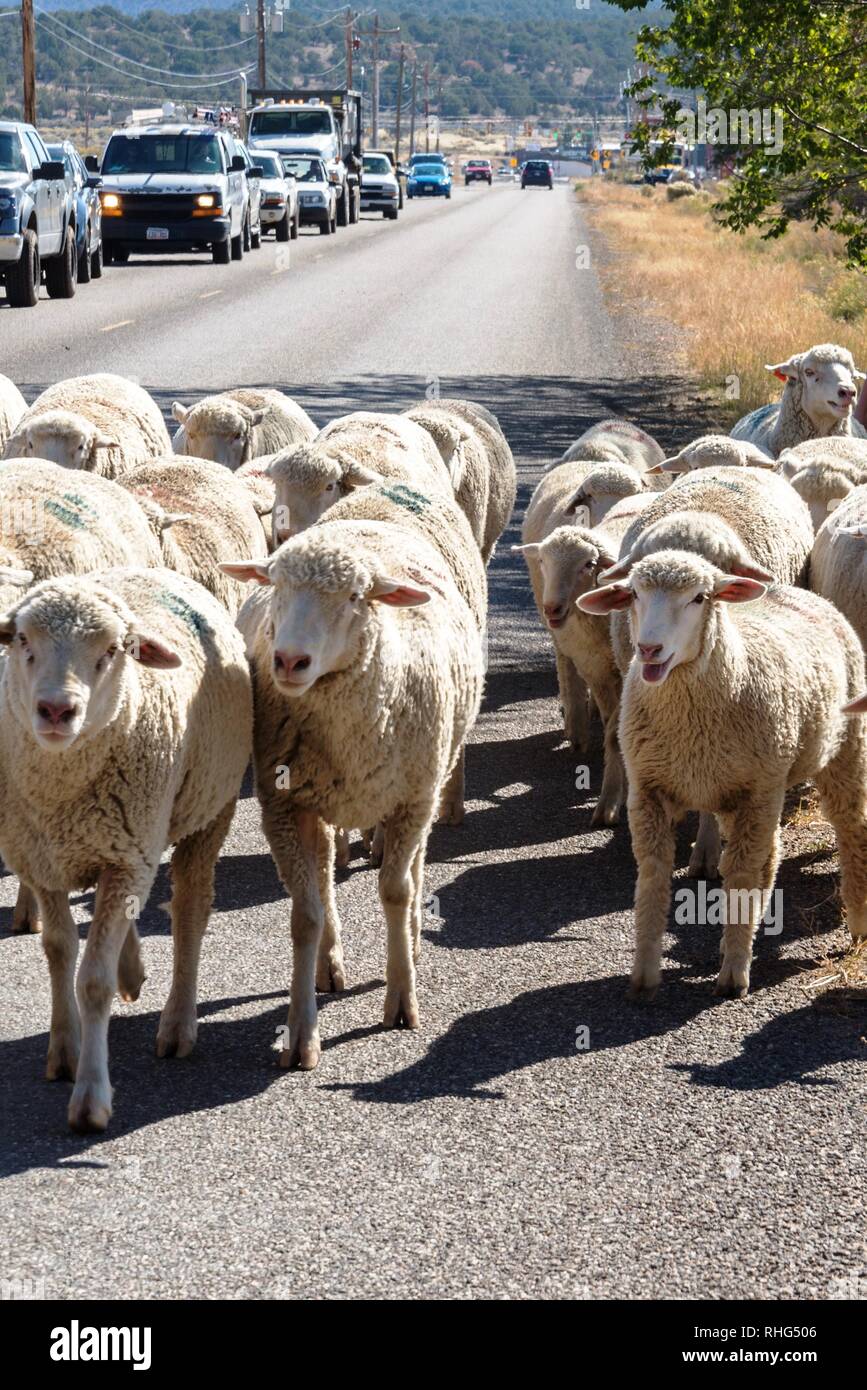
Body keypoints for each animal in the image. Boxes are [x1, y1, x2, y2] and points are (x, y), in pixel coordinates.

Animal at [0, 567, 252, 1131]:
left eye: (113, 649)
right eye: (22, 639)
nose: (56, 710)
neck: (60, 792)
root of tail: (149, 568)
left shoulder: (124, 857)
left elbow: (92, 981)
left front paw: (91, 1096)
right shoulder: (44, 861)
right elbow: (58, 950)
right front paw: (65, 1051)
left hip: (207, 810)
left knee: (189, 912)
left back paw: (178, 1024)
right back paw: (132, 970)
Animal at [223, 518, 484, 1069]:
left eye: (355, 596)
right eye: (276, 584)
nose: (289, 660)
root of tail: (366, 519)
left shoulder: (412, 800)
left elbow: (395, 890)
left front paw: (402, 1000)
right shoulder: (283, 807)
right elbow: (304, 915)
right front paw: (301, 1032)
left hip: (431, 778)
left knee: (415, 866)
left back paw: (412, 935)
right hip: (320, 804)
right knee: (324, 876)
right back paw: (328, 964)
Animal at [578, 552, 867, 998]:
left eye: (700, 598)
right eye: (634, 594)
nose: (648, 649)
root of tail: (801, 592)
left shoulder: (755, 790)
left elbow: (741, 872)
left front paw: (733, 974)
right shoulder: (648, 790)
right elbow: (654, 873)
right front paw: (644, 974)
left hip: (838, 753)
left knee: (849, 827)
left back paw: (856, 922)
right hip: (751, 787)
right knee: (770, 853)